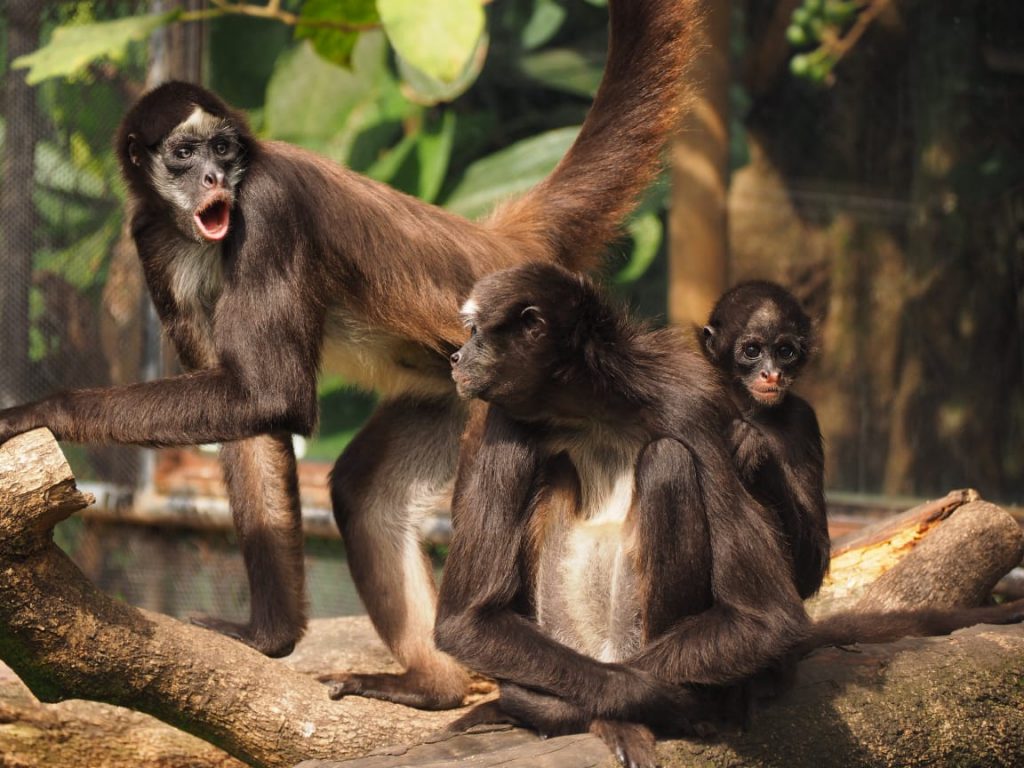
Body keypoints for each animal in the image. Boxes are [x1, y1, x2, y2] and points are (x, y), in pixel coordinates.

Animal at [0, 0, 703, 709]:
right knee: (365, 494)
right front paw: (269, 638)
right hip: (450, 387)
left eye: (222, 149)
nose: (214, 178)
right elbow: (254, 416)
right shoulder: (150, 237)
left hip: (507, 388)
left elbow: (270, 396)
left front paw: (40, 412)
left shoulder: (269, 204)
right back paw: (433, 686)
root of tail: (494, 243)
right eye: (183, 154)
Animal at [700, 280, 829, 599]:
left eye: (785, 351)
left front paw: (757, 455)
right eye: (752, 350)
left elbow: (813, 565)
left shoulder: (804, 420)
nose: (771, 374)